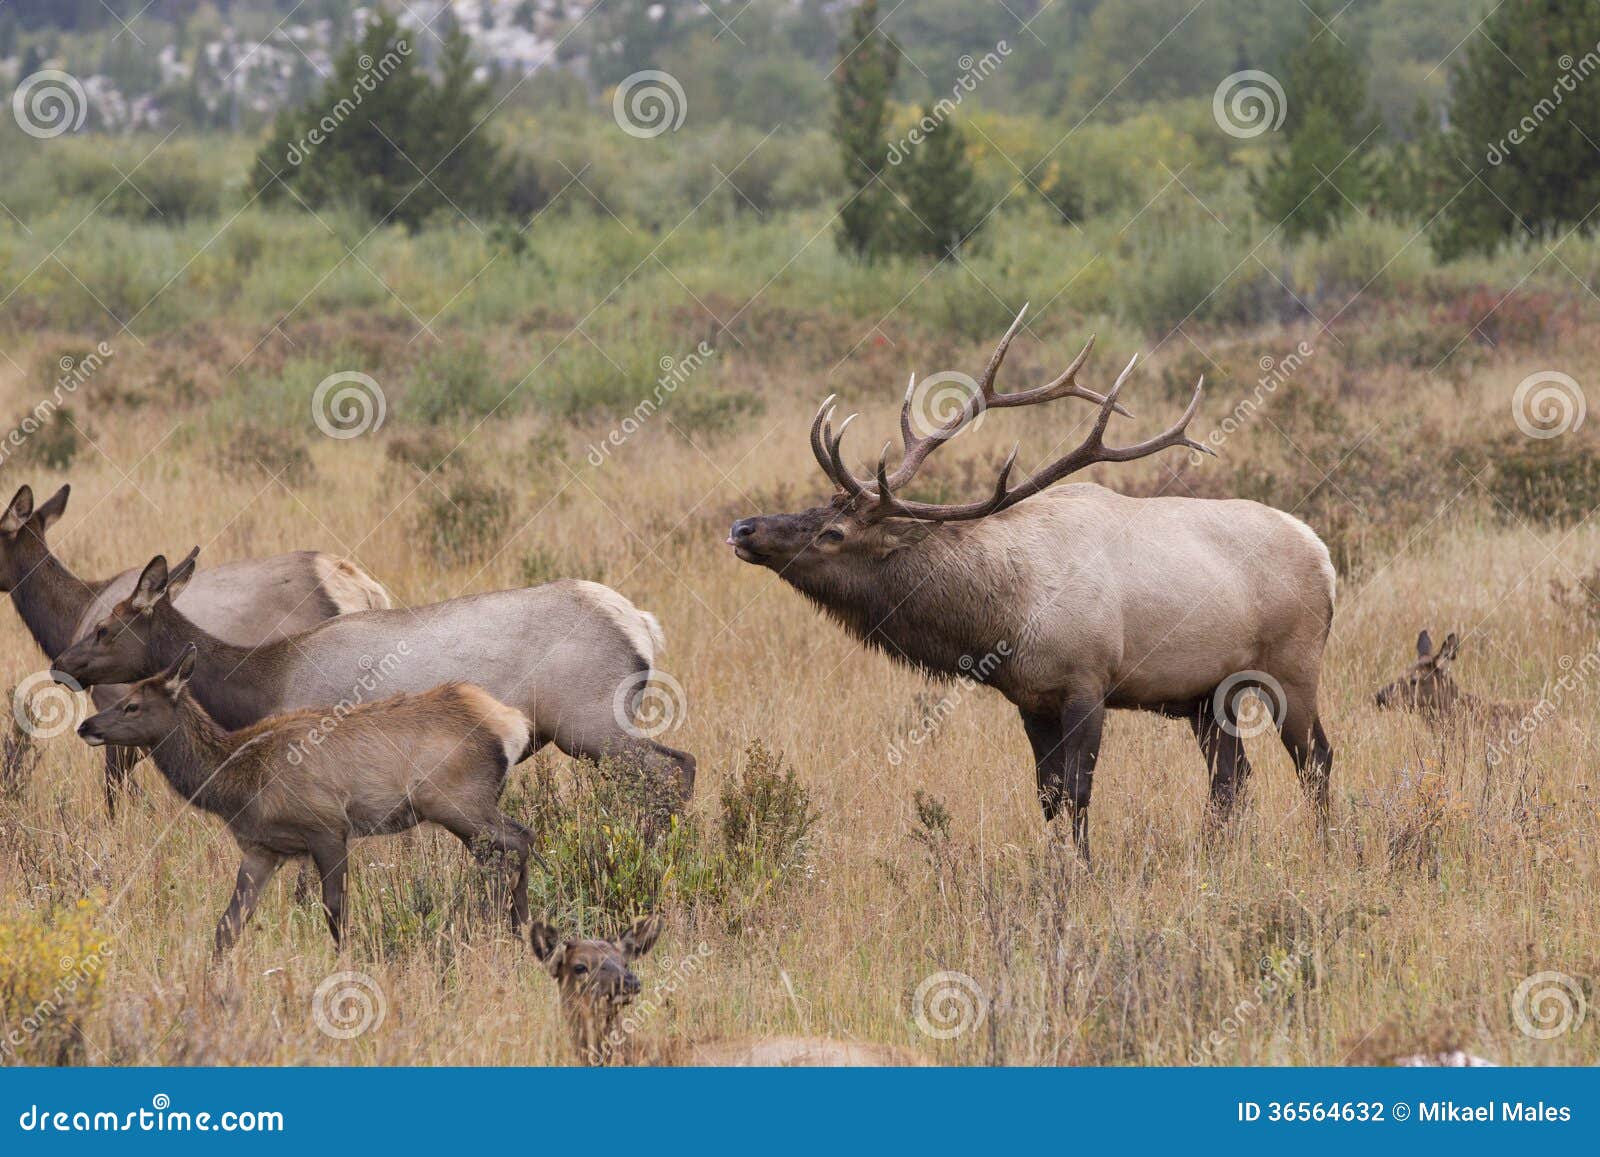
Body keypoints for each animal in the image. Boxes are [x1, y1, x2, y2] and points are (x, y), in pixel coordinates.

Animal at [0, 483, 390, 815]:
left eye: (103, 630)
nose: (61, 665)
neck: (73, 616)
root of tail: (366, 590)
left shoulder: (117, 705)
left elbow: (115, 792)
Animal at [50, 548, 696, 797]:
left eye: (104, 628)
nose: (60, 664)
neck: (262, 682)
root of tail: (643, 626)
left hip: (590, 723)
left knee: (676, 769)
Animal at [77, 644, 535, 952]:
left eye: (132, 704)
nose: (86, 726)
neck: (238, 786)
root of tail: (510, 725)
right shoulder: (262, 849)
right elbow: (228, 926)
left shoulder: (327, 826)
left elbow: (336, 910)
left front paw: (347, 961)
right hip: (466, 812)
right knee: (502, 854)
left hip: (456, 801)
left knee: (521, 840)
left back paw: (521, 928)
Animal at [727, 307, 1336, 859]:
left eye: (833, 532)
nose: (742, 528)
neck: (1005, 617)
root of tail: (1324, 555)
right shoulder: (1030, 699)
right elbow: (1049, 796)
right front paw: (1054, 868)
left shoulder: (1087, 683)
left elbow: (1080, 793)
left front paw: (1081, 871)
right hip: (1210, 694)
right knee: (1232, 777)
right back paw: (1213, 855)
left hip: (1293, 666)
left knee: (1315, 759)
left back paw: (1328, 849)